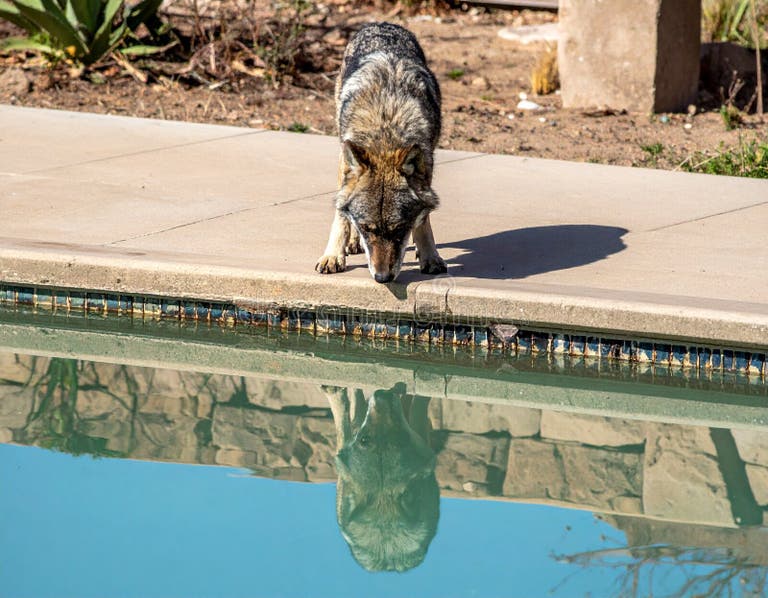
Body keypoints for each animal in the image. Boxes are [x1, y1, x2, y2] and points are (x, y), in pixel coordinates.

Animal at [315, 22, 448, 283]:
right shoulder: (345, 164)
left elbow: (423, 221)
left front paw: (429, 256)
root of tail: (382, 24)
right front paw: (333, 255)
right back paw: (352, 243)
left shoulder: (426, 167)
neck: (386, 129)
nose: (382, 277)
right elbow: (341, 215)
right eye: (368, 228)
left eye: (399, 229)